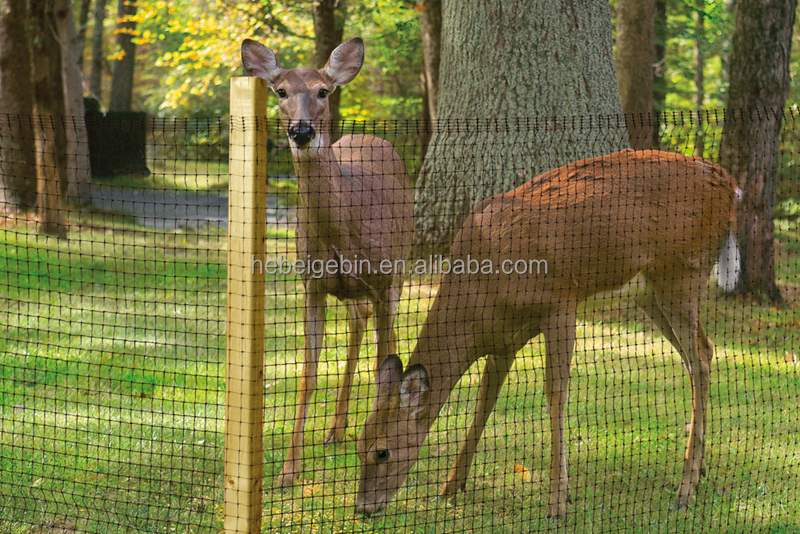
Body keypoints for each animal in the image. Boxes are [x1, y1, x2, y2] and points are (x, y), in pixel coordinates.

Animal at [241, 37, 413, 488]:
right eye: (280, 91)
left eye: (323, 91)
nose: (301, 131)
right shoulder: (312, 284)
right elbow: (308, 372)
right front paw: (288, 470)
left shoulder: (383, 279)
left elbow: (384, 364)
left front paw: (377, 449)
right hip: (351, 290)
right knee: (358, 321)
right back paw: (335, 429)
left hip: (401, 264)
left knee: (382, 334)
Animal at [355, 149, 739, 518]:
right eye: (358, 444)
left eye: (382, 452)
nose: (363, 507)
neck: (481, 292)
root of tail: (731, 185)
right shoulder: (503, 338)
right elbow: (484, 402)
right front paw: (450, 486)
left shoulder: (559, 302)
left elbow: (556, 395)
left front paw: (558, 502)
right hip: (650, 291)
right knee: (700, 353)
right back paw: (699, 470)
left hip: (682, 272)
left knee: (701, 357)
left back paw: (684, 491)